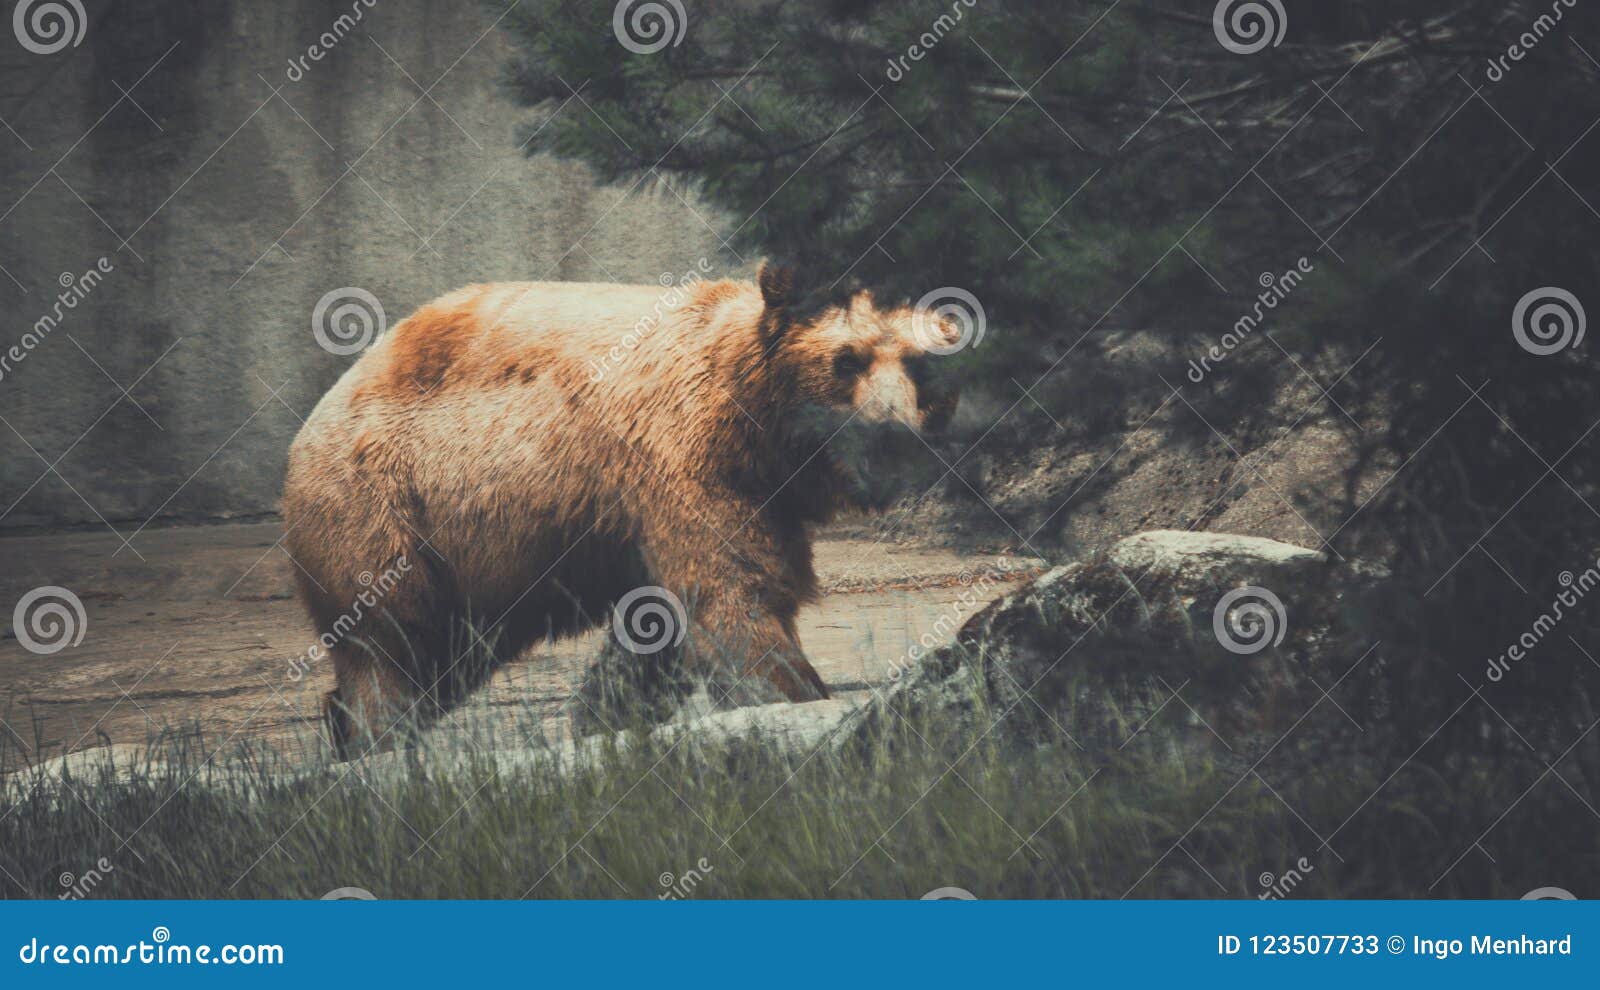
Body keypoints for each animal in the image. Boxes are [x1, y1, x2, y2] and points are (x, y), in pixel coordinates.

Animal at [282, 262, 960, 759]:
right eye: (847, 360)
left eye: (918, 366)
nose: (893, 437)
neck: (755, 429)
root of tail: (316, 416)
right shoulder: (682, 454)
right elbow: (732, 595)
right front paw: (801, 699)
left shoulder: (742, 498)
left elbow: (660, 628)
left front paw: (601, 718)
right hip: (388, 509)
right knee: (391, 645)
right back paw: (376, 741)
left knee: (441, 659)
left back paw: (343, 727)